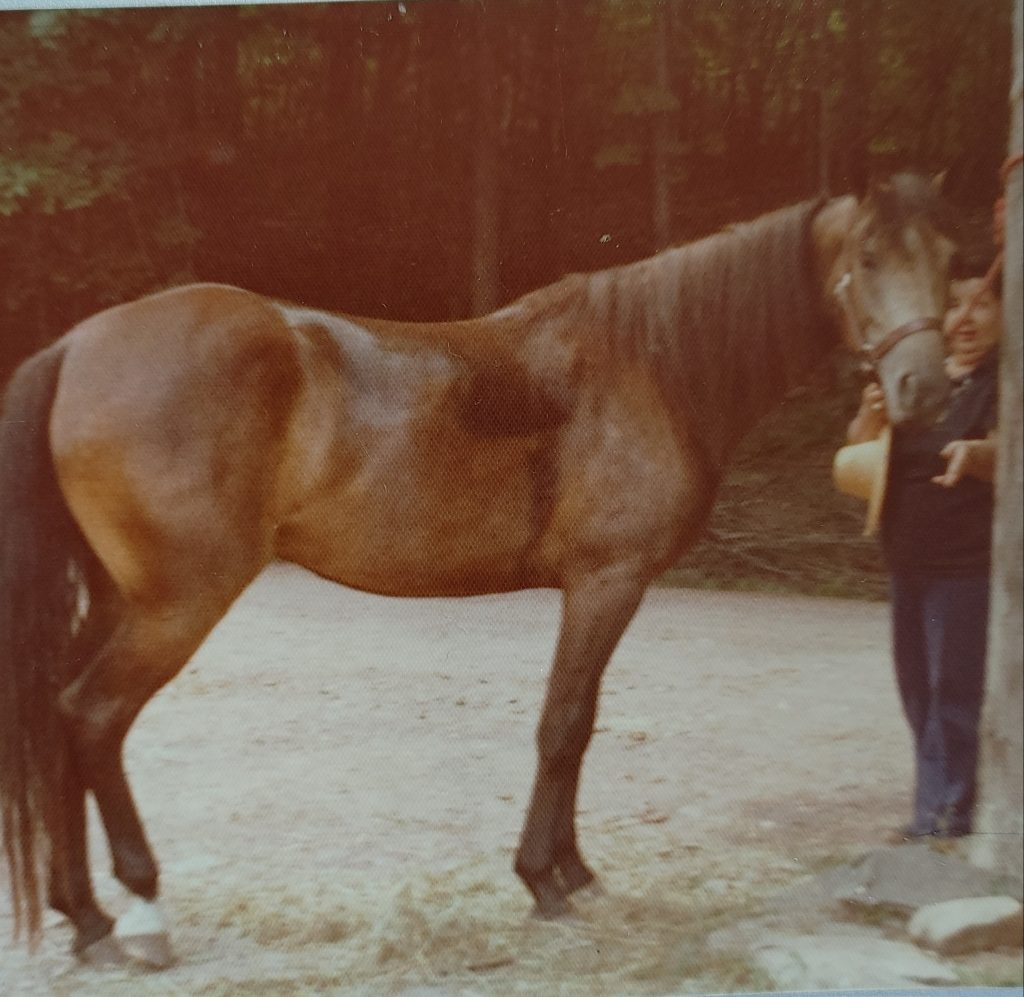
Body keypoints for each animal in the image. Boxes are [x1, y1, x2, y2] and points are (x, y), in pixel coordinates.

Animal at [0, 173, 956, 966]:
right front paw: (545, 881)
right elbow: (562, 725)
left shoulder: (604, 589)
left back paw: (85, 916)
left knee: (57, 718)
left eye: (949, 264)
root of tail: (81, 344)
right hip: (179, 603)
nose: (926, 390)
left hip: (120, 598)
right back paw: (139, 912)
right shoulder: (606, 583)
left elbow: (581, 725)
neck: (648, 361)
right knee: (93, 717)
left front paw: (574, 872)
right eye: (867, 259)